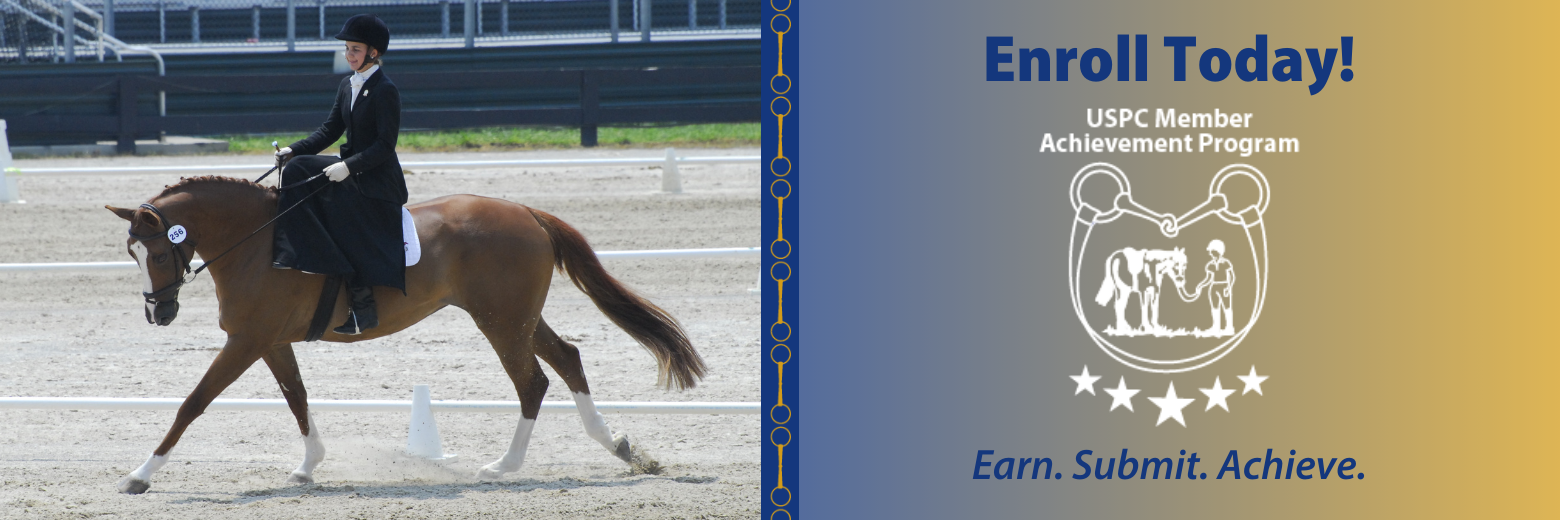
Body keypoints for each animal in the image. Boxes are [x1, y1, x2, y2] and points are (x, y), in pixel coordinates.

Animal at [104, 175, 705, 494]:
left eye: (157, 254)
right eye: (131, 254)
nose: (159, 314)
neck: (257, 241)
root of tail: (526, 213)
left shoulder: (246, 342)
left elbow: (193, 403)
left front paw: (140, 474)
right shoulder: (269, 342)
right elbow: (296, 396)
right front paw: (308, 465)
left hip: (500, 321)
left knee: (532, 382)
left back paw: (502, 468)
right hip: (517, 317)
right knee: (568, 359)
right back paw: (622, 448)